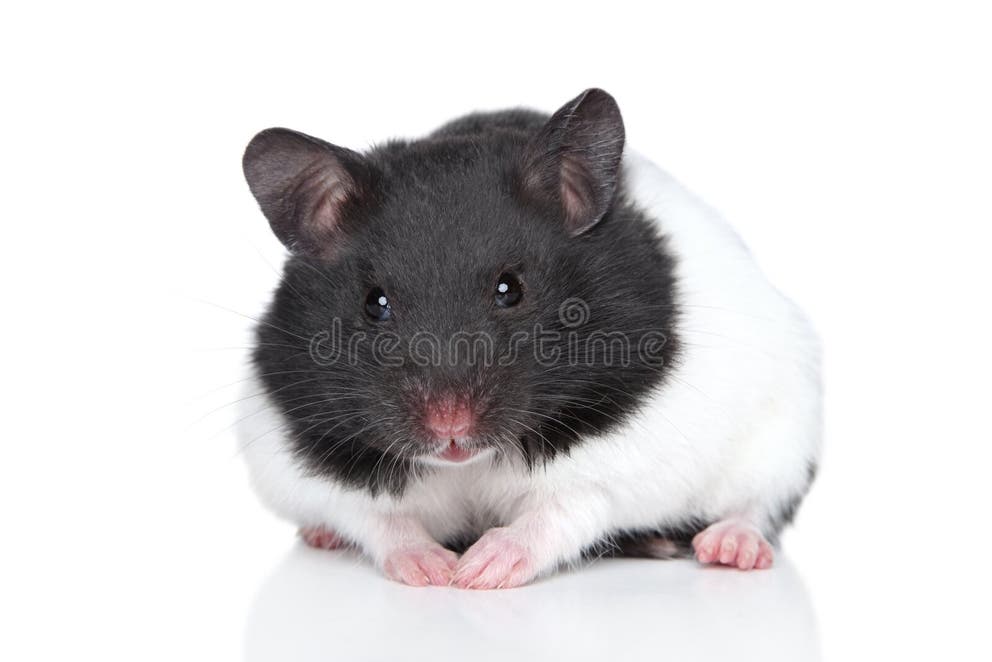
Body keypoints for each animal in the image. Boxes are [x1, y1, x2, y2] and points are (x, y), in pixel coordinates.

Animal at [237, 89, 822, 588]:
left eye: (510, 288)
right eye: (374, 303)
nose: (450, 427)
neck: (468, 466)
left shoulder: (622, 463)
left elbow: (563, 511)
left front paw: (478, 572)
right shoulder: (305, 456)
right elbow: (377, 520)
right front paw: (434, 571)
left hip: (785, 431)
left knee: (760, 505)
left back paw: (729, 549)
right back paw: (323, 537)